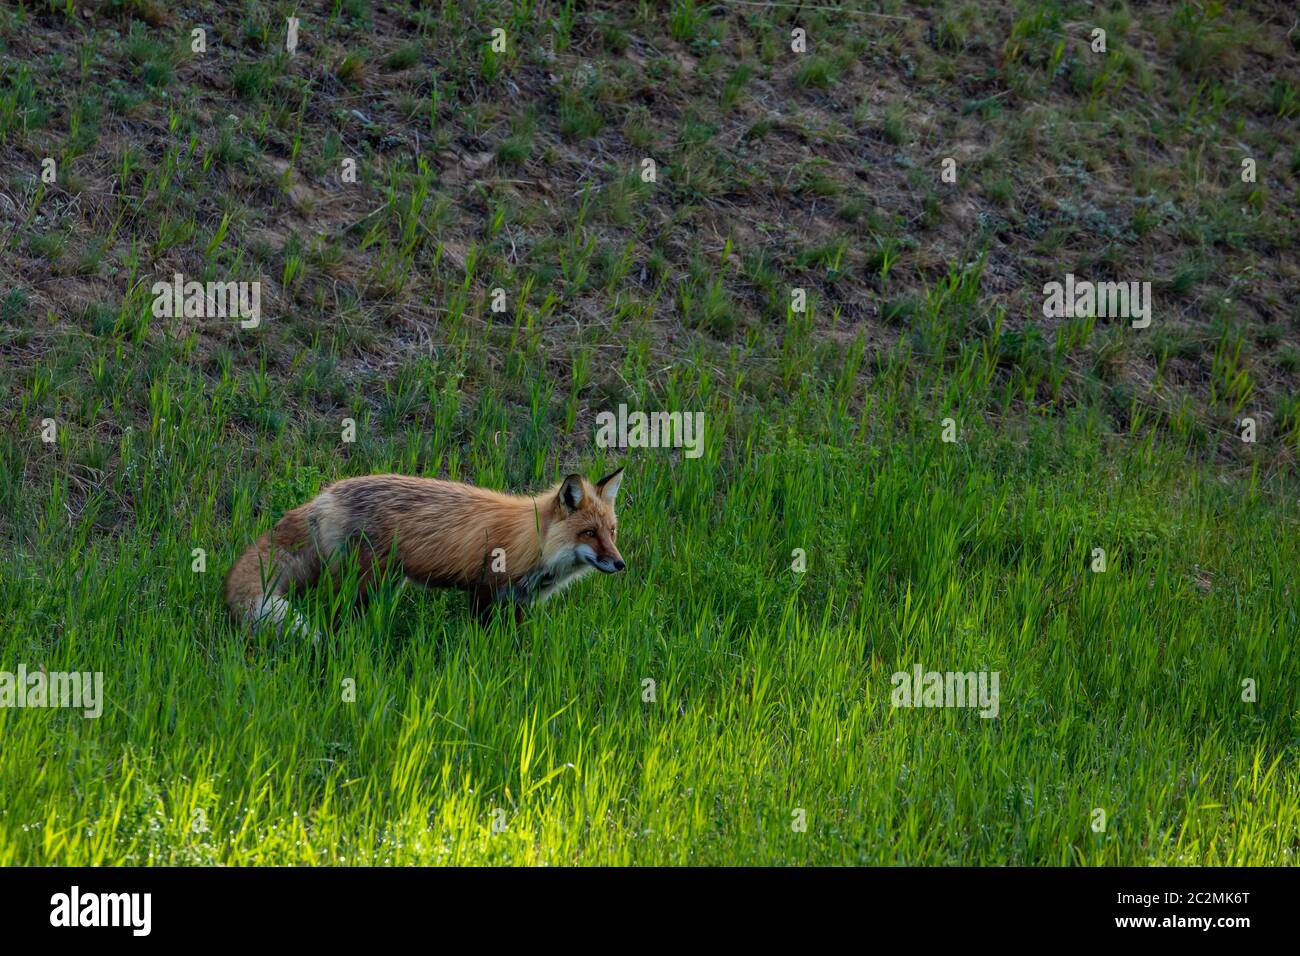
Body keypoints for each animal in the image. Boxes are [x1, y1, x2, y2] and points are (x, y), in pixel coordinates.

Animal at [224, 468, 625, 639]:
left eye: (611, 532)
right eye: (589, 533)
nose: (620, 564)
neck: (532, 541)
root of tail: (324, 495)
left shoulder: (520, 603)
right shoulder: (484, 591)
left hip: (387, 585)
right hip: (364, 586)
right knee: (334, 614)